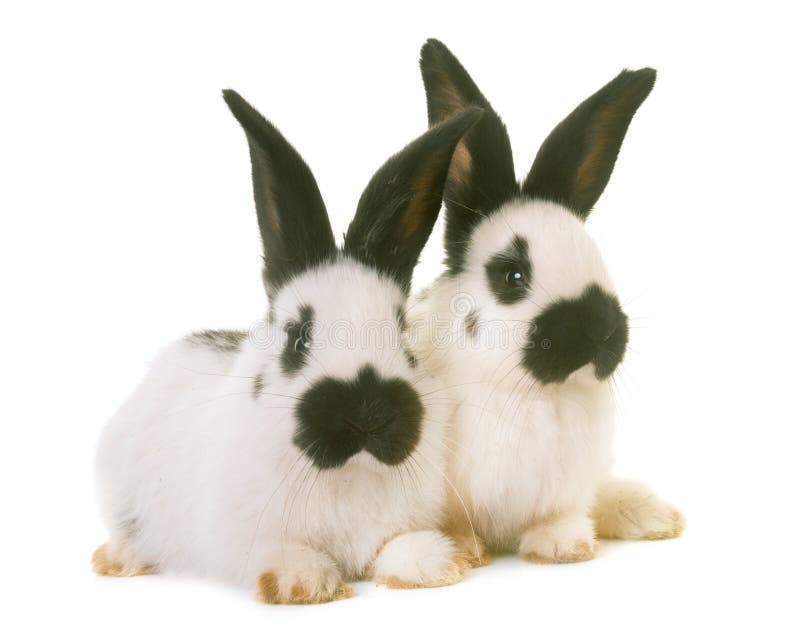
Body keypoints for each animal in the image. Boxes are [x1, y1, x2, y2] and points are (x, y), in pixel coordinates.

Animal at [92, 88, 484, 604]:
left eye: (401, 332)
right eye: (298, 336)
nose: (367, 412)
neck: (347, 473)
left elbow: (398, 545)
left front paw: (433, 565)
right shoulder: (241, 540)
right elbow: (278, 553)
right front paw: (302, 581)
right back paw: (118, 560)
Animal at [406, 39, 684, 565]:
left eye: (596, 256)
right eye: (513, 276)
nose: (599, 329)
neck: (529, 391)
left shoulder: (567, 486)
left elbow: (562, 513)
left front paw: (562, 545)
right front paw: (461, 551)